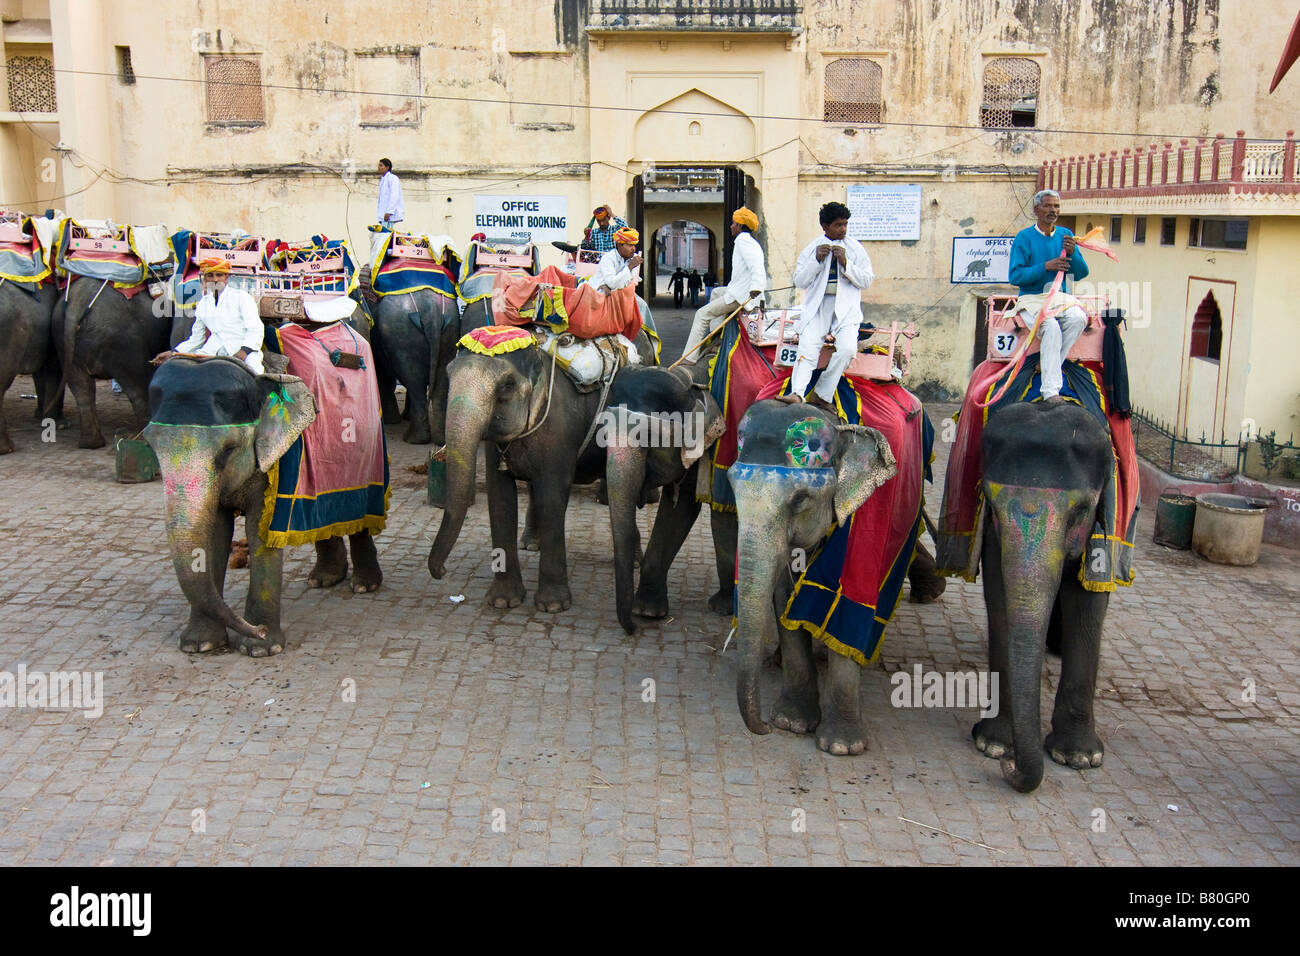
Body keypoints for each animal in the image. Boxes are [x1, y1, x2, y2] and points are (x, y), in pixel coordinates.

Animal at [144, 356, 384, 657]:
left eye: (228, 450)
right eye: (151, 447)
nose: (257, 630)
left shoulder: (278, 462)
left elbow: (260, 531)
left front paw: (261, 648)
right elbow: (216, 533)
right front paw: (199, 645)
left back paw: (365, 585)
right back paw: (324, 579)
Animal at [427, 329, 656, 612]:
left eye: (507, 385)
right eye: (449, 375)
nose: (441, 572)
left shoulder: (559, 432)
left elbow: (552, 497)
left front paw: (552, 606)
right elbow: (500, 498)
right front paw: (503, 602)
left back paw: (633, 561)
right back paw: (530, 544)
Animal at [727, 399, 900, 754]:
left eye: (799, 499)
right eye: (732, 487)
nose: (764, 727)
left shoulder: (863, 525)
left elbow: (843, 616)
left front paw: (843, 746)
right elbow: (783, 601)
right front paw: (791, 723)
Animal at [969, 401, 1113, 792]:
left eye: (1081, 510)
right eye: (990, 504)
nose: (1011, 768)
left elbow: (1089, 598)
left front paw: (1079, 757)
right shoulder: (992, 533)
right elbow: (999, 594)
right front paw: (995, 745)